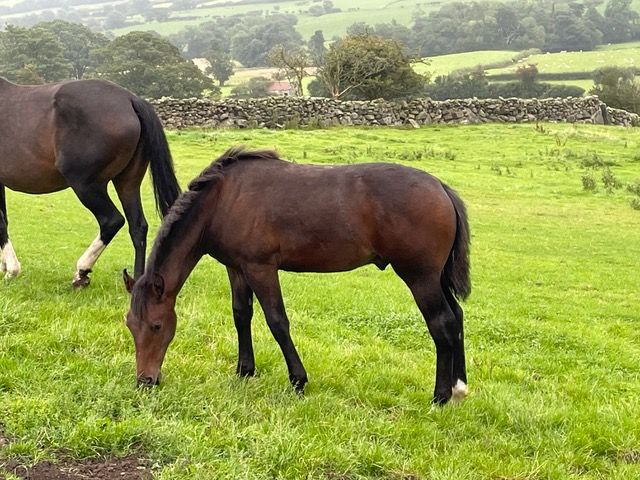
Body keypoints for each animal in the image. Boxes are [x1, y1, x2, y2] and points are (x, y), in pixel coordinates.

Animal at [0, 77, 181, 287]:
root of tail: (130, 99)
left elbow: (0, 223)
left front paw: (11, 271)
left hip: (86, 186)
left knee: (112, 221)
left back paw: (82, 271)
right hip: (127, 183)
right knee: (138, 227)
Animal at [123, 147, 471, 405]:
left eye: (157, 325)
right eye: (130, 325)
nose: (145, 381)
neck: (224, 199)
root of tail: (441, 189)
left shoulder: (261, 268)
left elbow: (277, 321)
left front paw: (298, 380)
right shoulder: (236, 268)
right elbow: (241, 315)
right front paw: (245, 370)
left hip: (420, 278)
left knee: (442, 323)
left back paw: (440, 396)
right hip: (436, 278)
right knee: (456, 317)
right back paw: (459, 388)